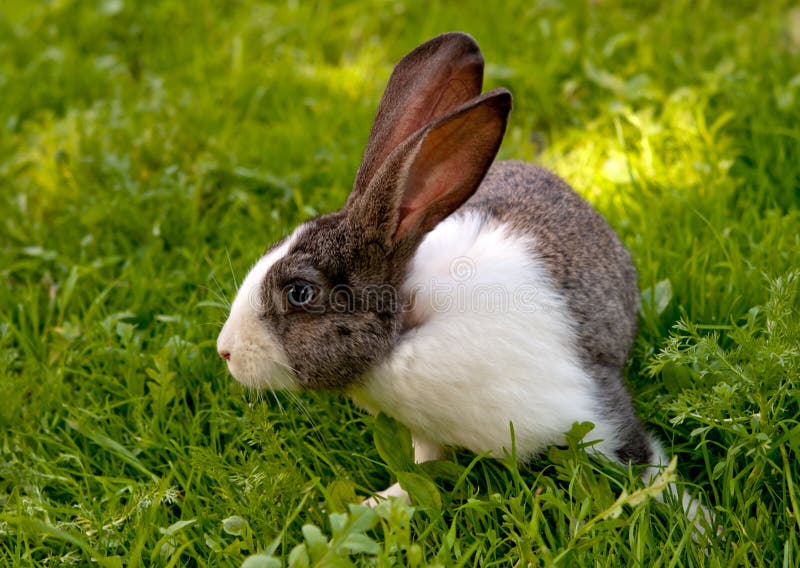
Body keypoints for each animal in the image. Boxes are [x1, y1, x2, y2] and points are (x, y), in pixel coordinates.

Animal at [217, 32, 706, 522]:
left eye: (300, 292)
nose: (225, 351)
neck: (406, 331)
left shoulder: (594, 408)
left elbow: (646, 464)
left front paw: (701, 525)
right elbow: (421, 471)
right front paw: (372, 506)